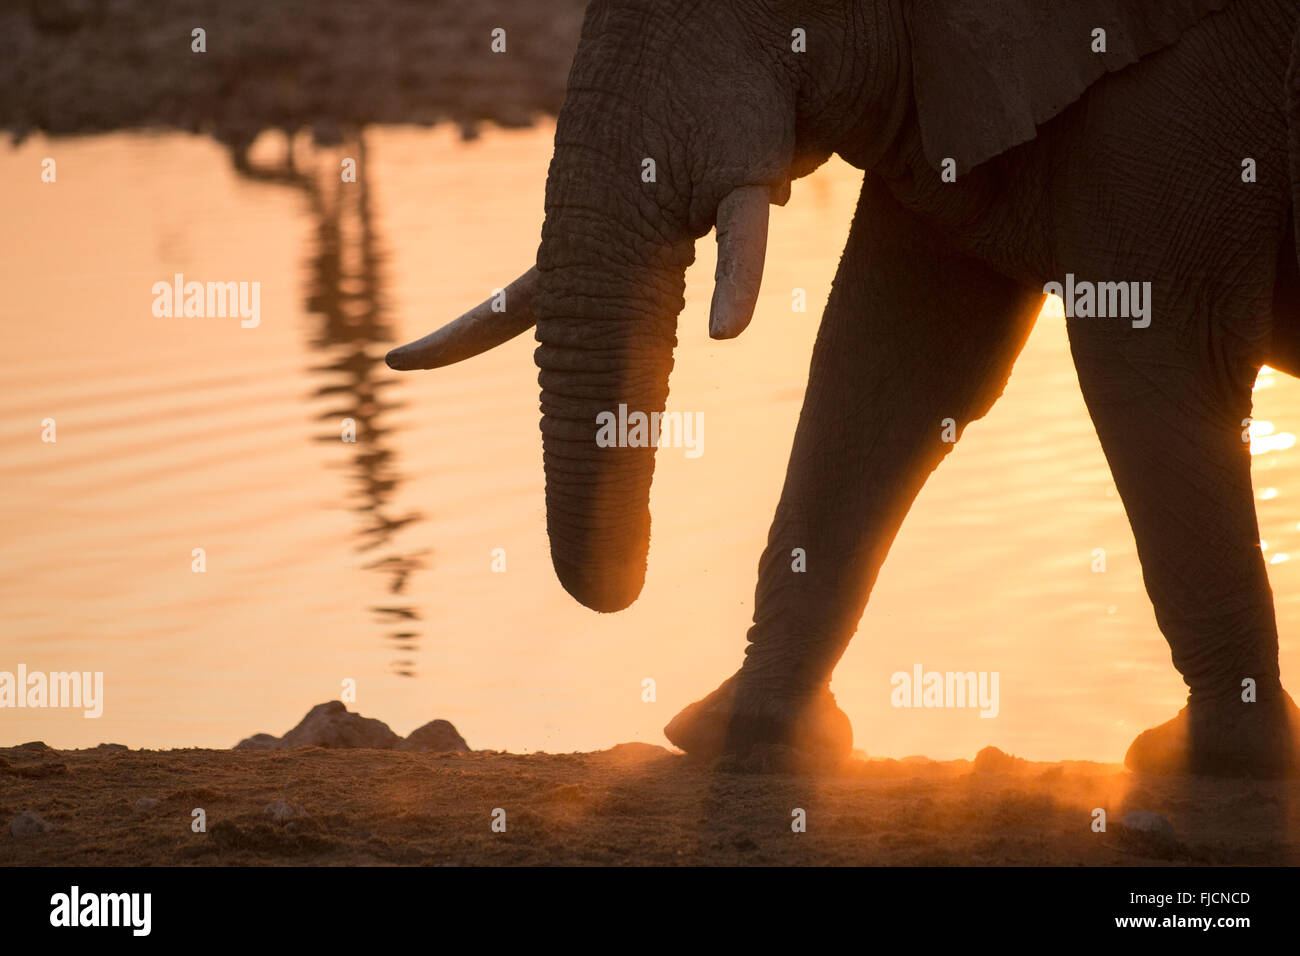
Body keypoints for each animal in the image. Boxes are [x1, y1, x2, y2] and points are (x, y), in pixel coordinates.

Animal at [389, 0, 1300, 776]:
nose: (624, 588)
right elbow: (886, 359)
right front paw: (741, 735)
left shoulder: (1189, 94)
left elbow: (1142, 362)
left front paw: (1203, 763)